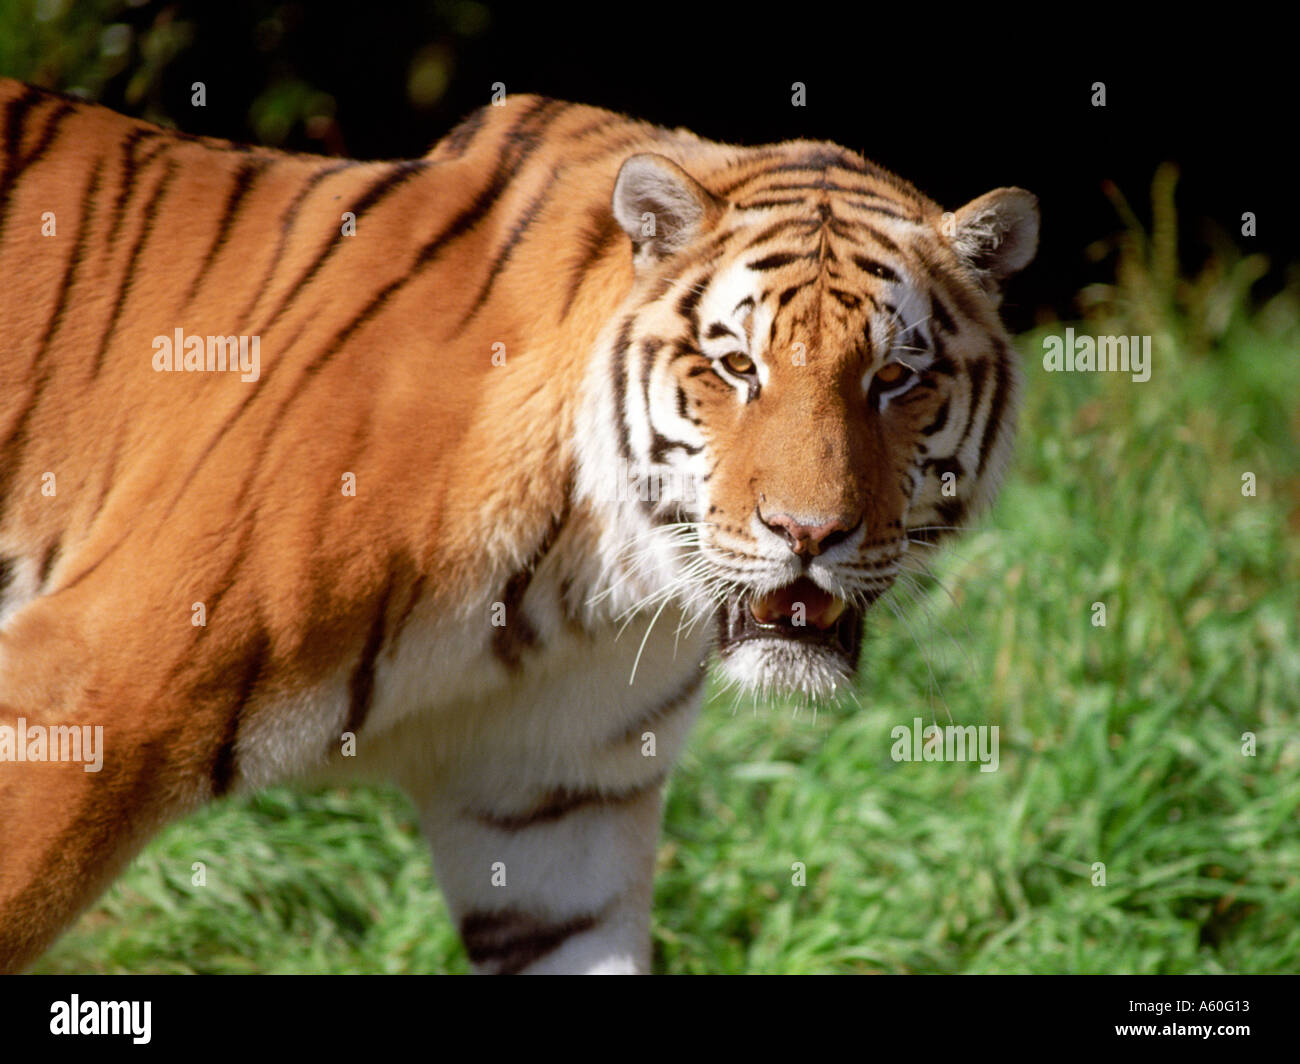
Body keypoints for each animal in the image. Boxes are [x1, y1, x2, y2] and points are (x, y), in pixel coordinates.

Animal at [0, 77, 1037, 974]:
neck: (594, 585)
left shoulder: (555, 811)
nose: (808, 533)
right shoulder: (86, 695)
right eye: (738, 366)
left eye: (895, 377)